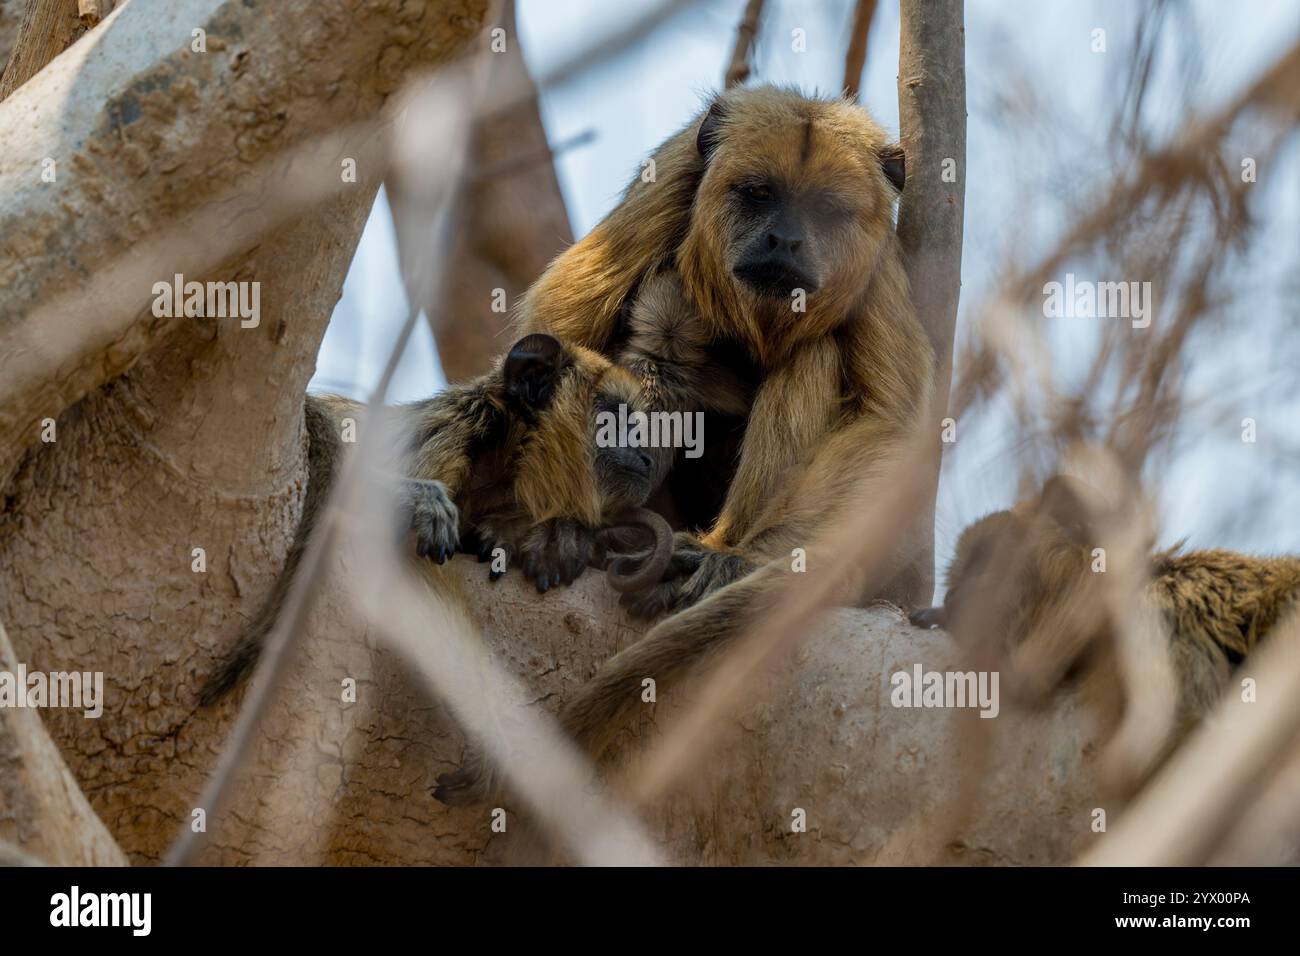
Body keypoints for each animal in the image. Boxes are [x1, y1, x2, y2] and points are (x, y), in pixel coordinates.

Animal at [431, 86, 936, 803]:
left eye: (825, 210)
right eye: (758, 193)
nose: (785, 237)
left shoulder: (878, 269)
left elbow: (887, 427)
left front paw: (750, 561)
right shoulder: (669, 181)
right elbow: (564, 328)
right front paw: (534, 522)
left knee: (813, 354)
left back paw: (724, 549)